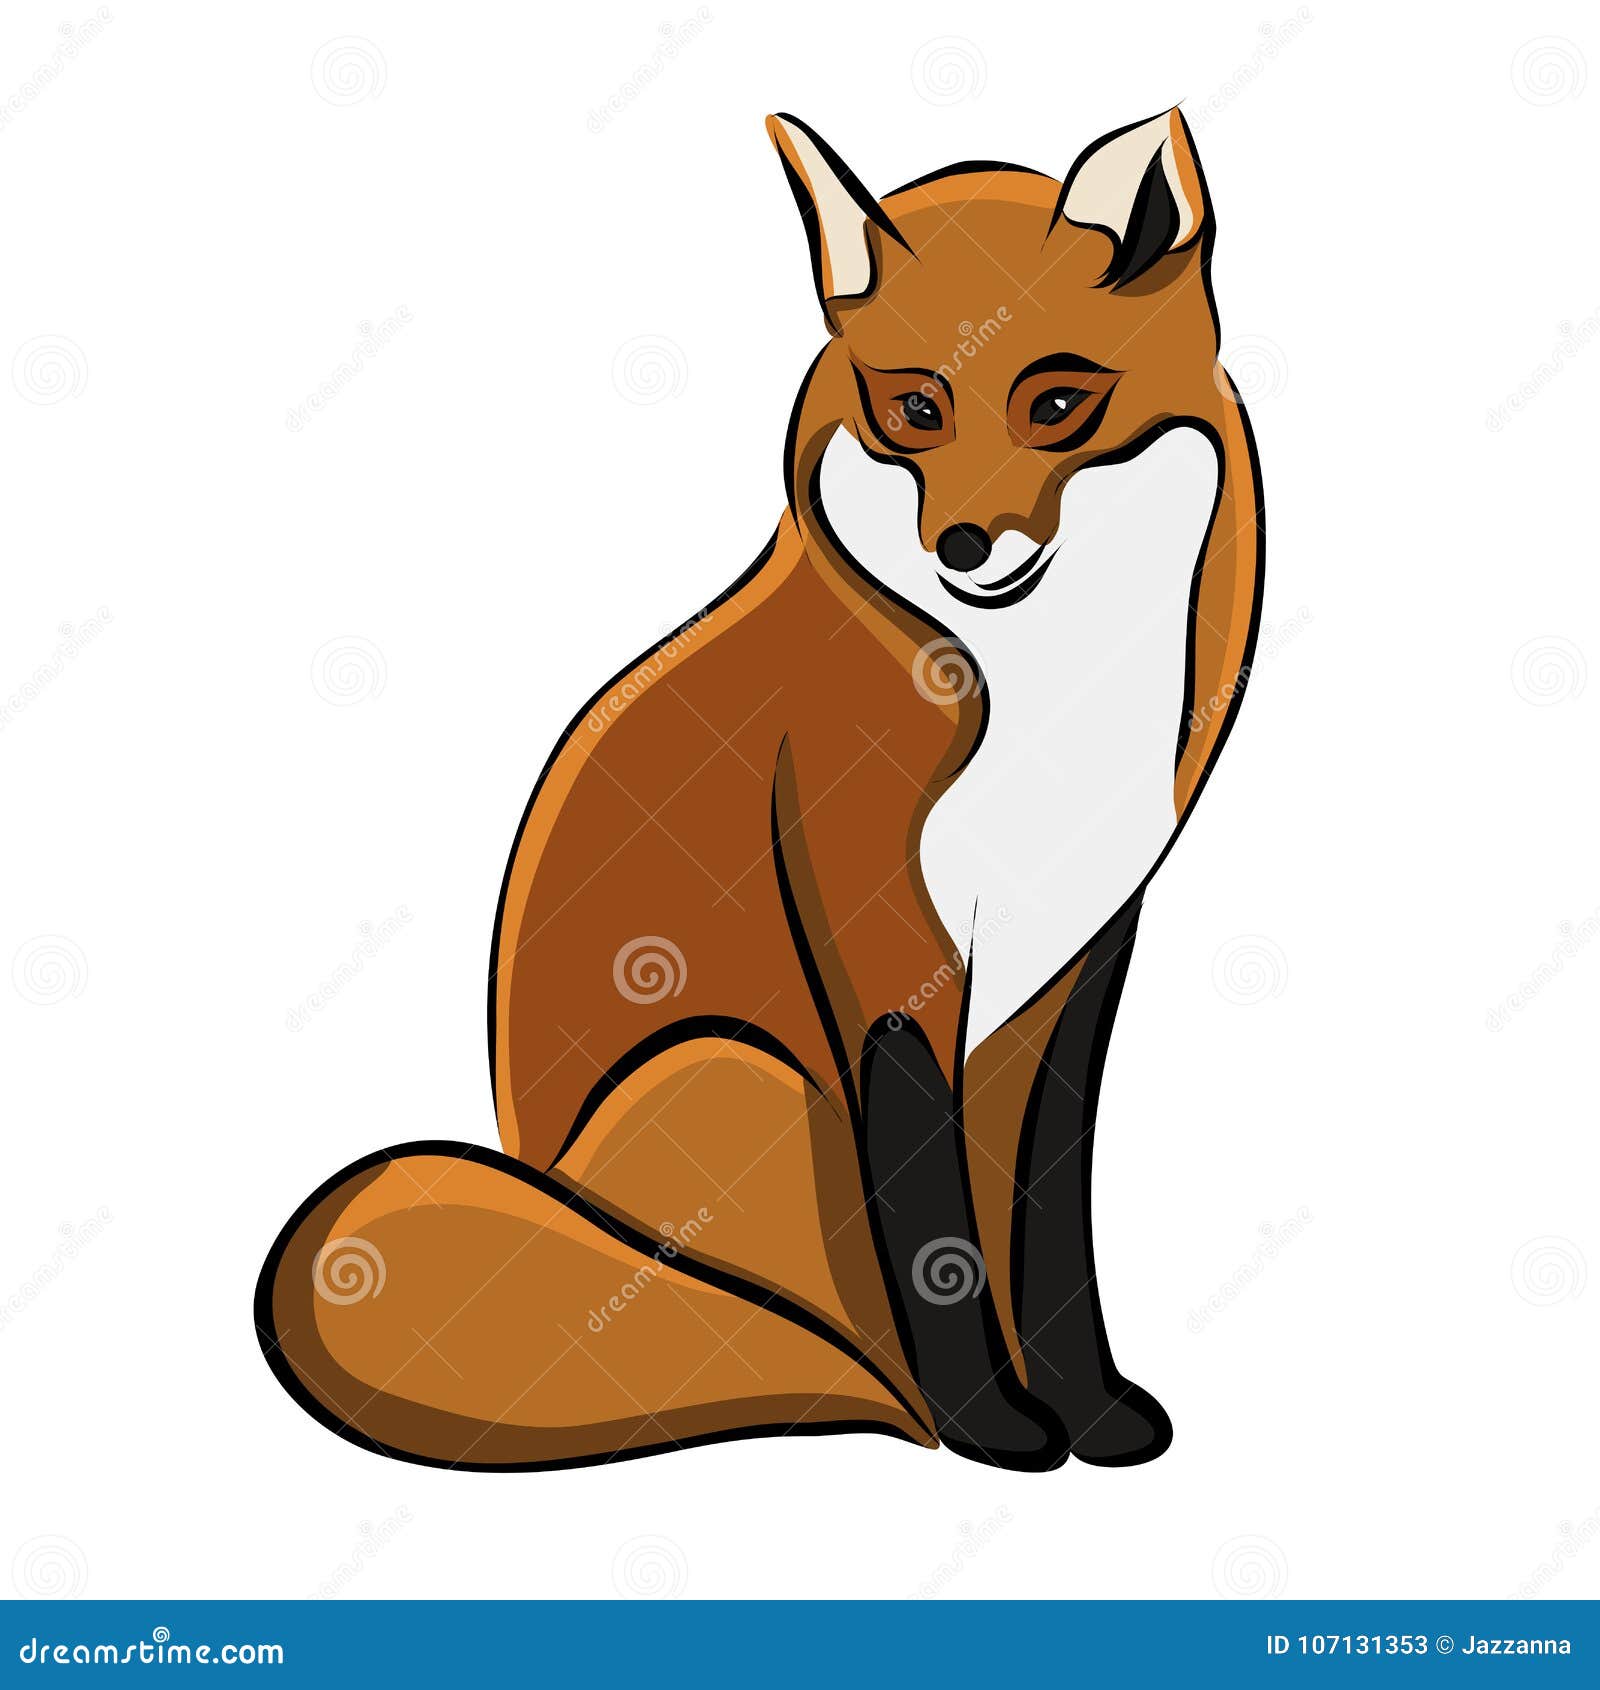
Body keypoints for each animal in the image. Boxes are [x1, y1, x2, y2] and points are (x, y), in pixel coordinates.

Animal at [257, 108, 1264, 1473]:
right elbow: (939, 1241)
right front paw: (992, 1424)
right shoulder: (887, 951)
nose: (963, 547)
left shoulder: (1071, 962)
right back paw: (891, 1407)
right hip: (742, 1072)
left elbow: (1045, 1221)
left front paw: (1090, 1411)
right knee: (806, 1348)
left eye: (1057, 404)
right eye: (915, 407)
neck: (1051, 712)